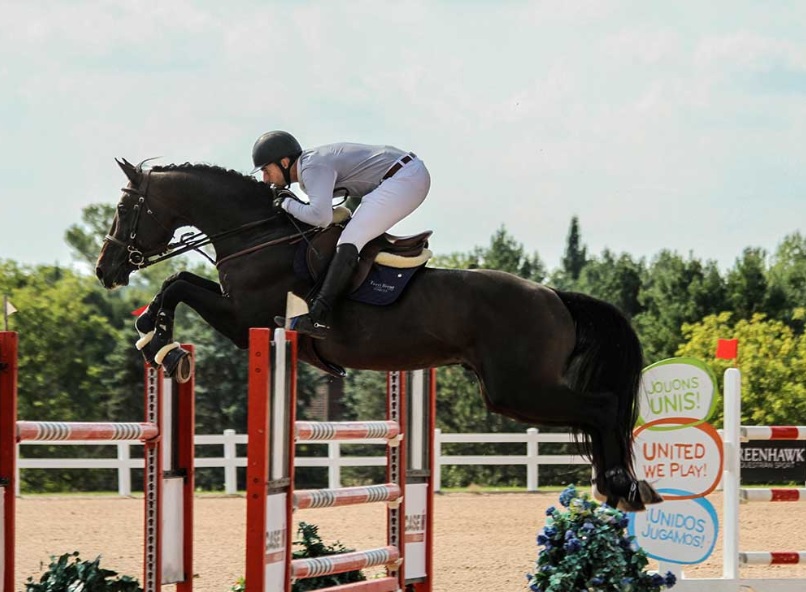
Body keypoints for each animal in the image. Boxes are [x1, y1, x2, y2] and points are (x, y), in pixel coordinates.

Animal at [95, 158, 662, 512]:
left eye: (123, 210)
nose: (105, 270)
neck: (259, 234)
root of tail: (555, 296)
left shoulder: (242, 319)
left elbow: (178, 283)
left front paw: (160, 343)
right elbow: (180, 281)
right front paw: (155, 337)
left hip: (516, 389)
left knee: (602, 407)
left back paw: (619, 487)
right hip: (517, 389)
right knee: (601, 411)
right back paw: (622, 489)